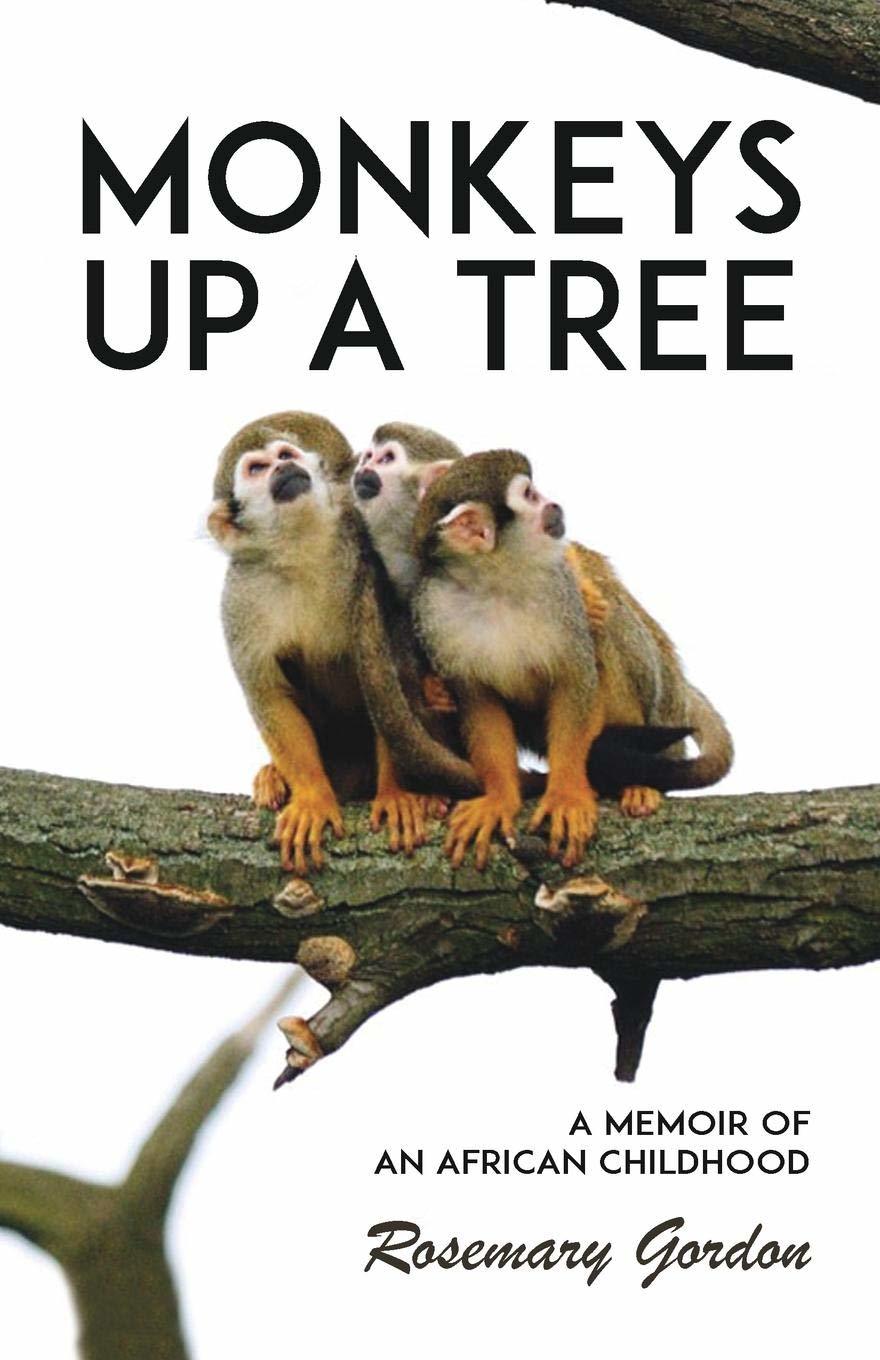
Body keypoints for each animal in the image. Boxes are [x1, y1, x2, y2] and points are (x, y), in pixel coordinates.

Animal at [208, 410, 437, 871]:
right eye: (257, 469)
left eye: (284, 455)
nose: (283, 470)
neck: (303, 549)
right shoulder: (239, 598)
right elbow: (268, 693)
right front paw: (312, 797)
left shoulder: (367, 560)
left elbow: (382, 680)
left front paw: (397, 794)